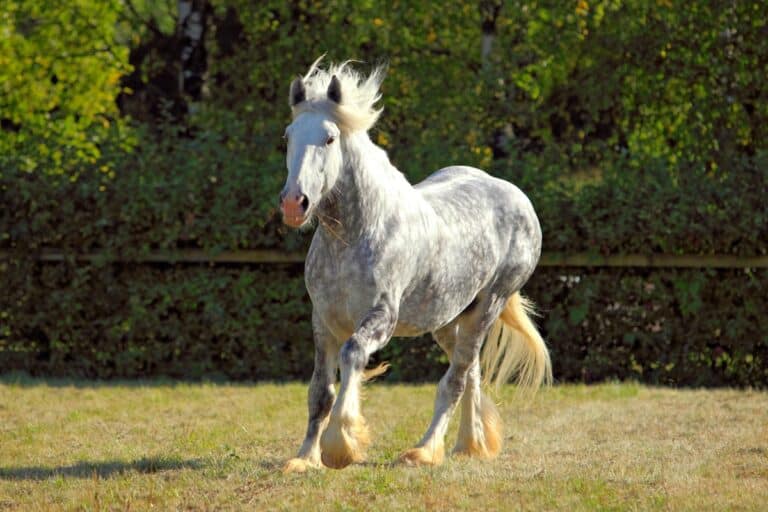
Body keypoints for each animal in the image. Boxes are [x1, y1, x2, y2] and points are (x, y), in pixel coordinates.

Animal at [279, 57, 552, 472]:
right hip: (447, 319)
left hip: (488, 307)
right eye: (288, 136)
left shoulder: (381, 317)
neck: (354, 235)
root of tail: (517, 197)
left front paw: (340, 446)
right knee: (471, 372)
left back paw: (424, 451)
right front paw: (305, 458)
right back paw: (470, 445)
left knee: (455, 380)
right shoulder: (323, 320)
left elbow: (353, 355)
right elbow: (319, 392)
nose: (295, 204)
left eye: (329, 138)